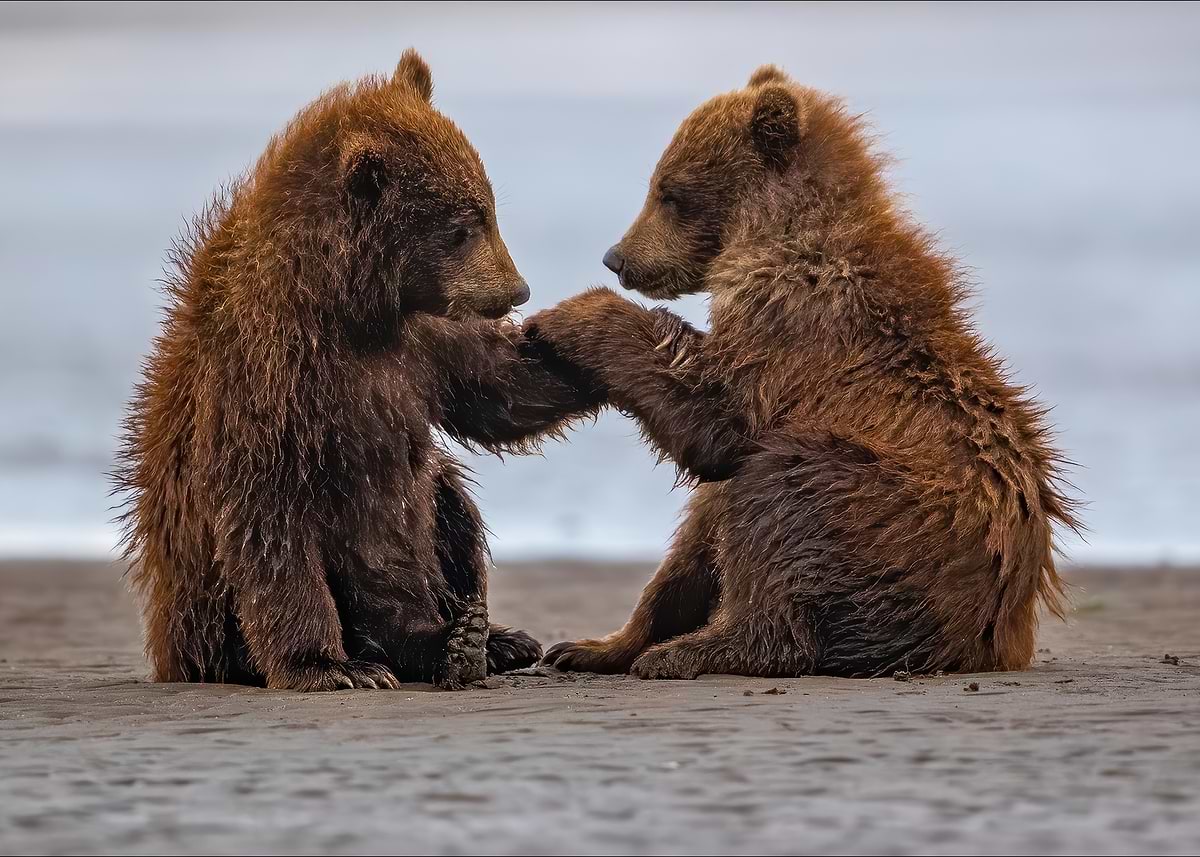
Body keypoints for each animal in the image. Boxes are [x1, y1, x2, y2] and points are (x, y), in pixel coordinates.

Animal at [114, 50, 603, 692]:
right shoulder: (268, 378)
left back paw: (484, 638)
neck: (348, 309)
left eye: (489, 209)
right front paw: (329, 667)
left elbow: (498, 390)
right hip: (205, 614)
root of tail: (170, 650)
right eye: (461, 227)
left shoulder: (423, 344)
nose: (516, 290)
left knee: (448, 505)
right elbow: (269, 522)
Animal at [529, 64, 1078, 679]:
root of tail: (988, 635)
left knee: (775, 498)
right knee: (712, 527)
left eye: (670, 193)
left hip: (878, 510)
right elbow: (694, 525)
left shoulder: (793, 329)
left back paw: (696, 650)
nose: (617, 258)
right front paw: (593, 644)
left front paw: (565, 315)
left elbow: (716, 418)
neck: (776, 234)